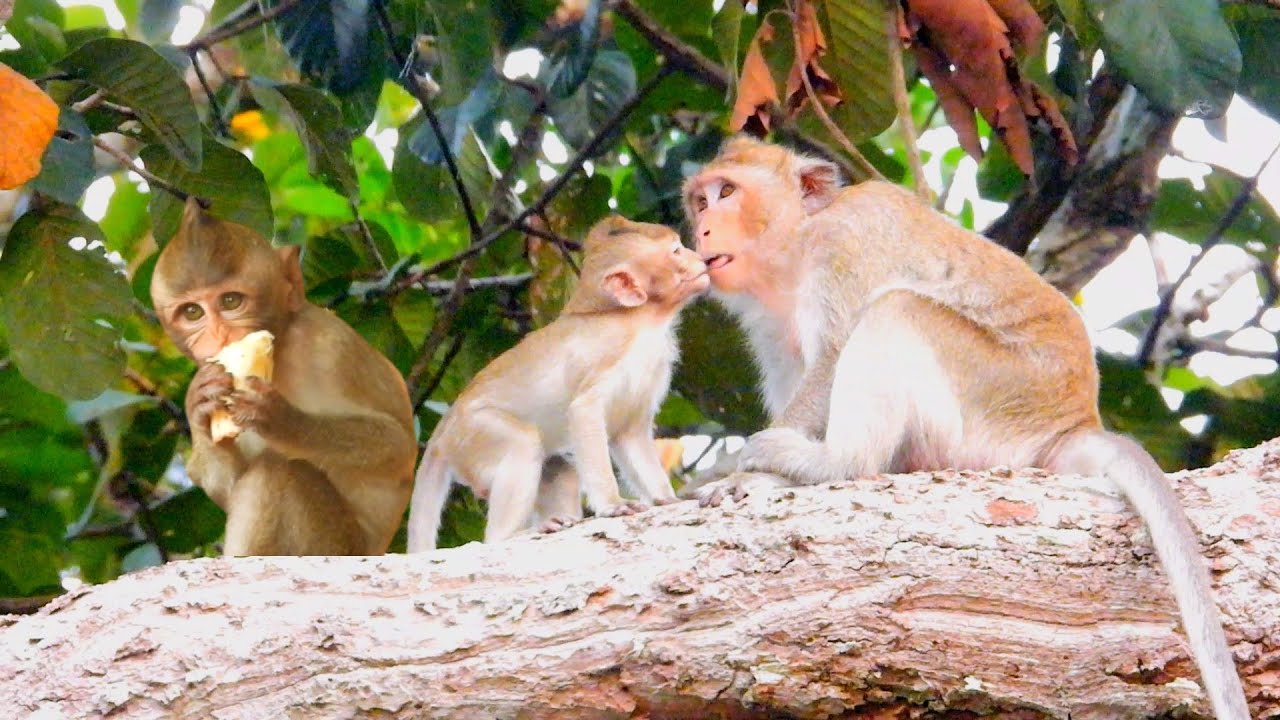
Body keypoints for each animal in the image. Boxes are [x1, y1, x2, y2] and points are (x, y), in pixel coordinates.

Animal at [150, 198, 417, 556]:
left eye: (231, 301)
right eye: (192, 312)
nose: (220, 337)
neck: (283, 348)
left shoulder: (332, 347)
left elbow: (398, 447)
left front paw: (284, 422)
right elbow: (226, 486)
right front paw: (200, 405)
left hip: (338, 547)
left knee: (282, 472)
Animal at [405, 216, 710, 552]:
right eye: (676, 251)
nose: (700, 258)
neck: (640, 320)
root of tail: (445, 428)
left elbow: (629, 434)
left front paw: (667, 498)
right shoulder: (609, 349)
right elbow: (584, 410)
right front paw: (613, 504)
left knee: (559, 470)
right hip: (472, 436)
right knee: (523, 443)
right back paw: (508, 535)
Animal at [681, 136, 1251, 720]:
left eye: (726, 193)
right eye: (700, 201)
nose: (702, 231)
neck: (796, 247)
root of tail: (1074, 424)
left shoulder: (842, 246)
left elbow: (835, 353)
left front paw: (753, 476)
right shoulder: (766, 322)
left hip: (994, 397)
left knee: (896, 310)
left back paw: (834, 463)